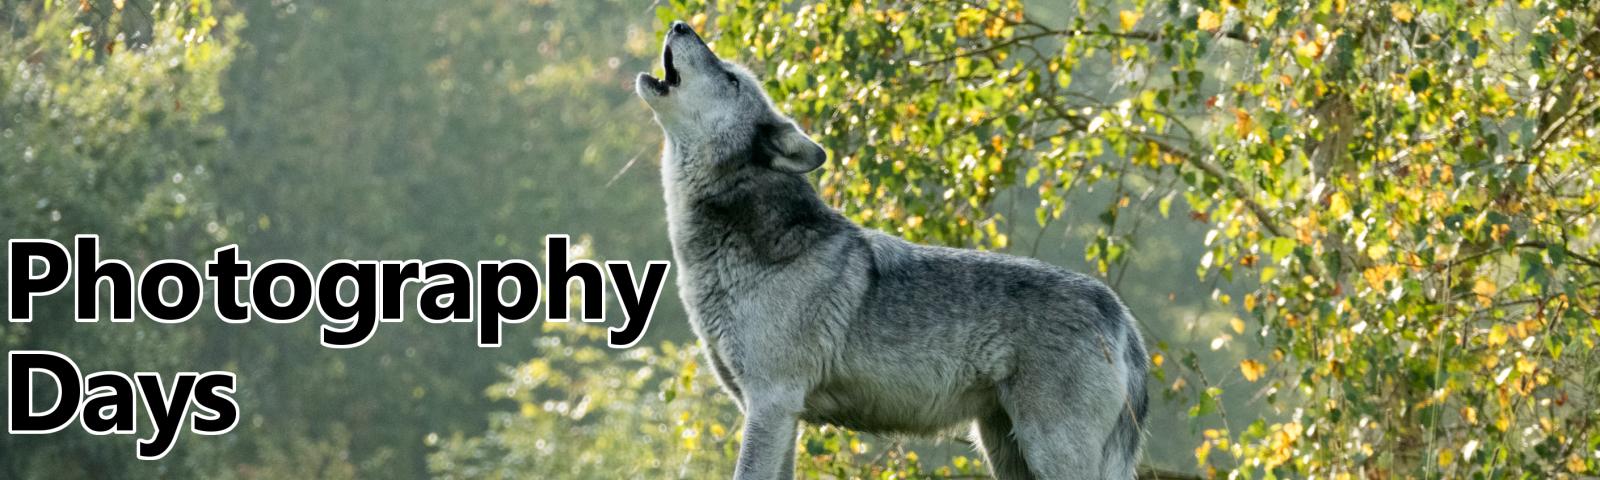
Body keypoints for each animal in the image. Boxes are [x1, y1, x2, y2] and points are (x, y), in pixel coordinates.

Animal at [636, 21, 1149, 480]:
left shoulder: (772, 404)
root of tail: (1119, 312)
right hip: (1005, 451)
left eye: (731, 79)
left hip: (1049, 452)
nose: (680, 24)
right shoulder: (782, 415)